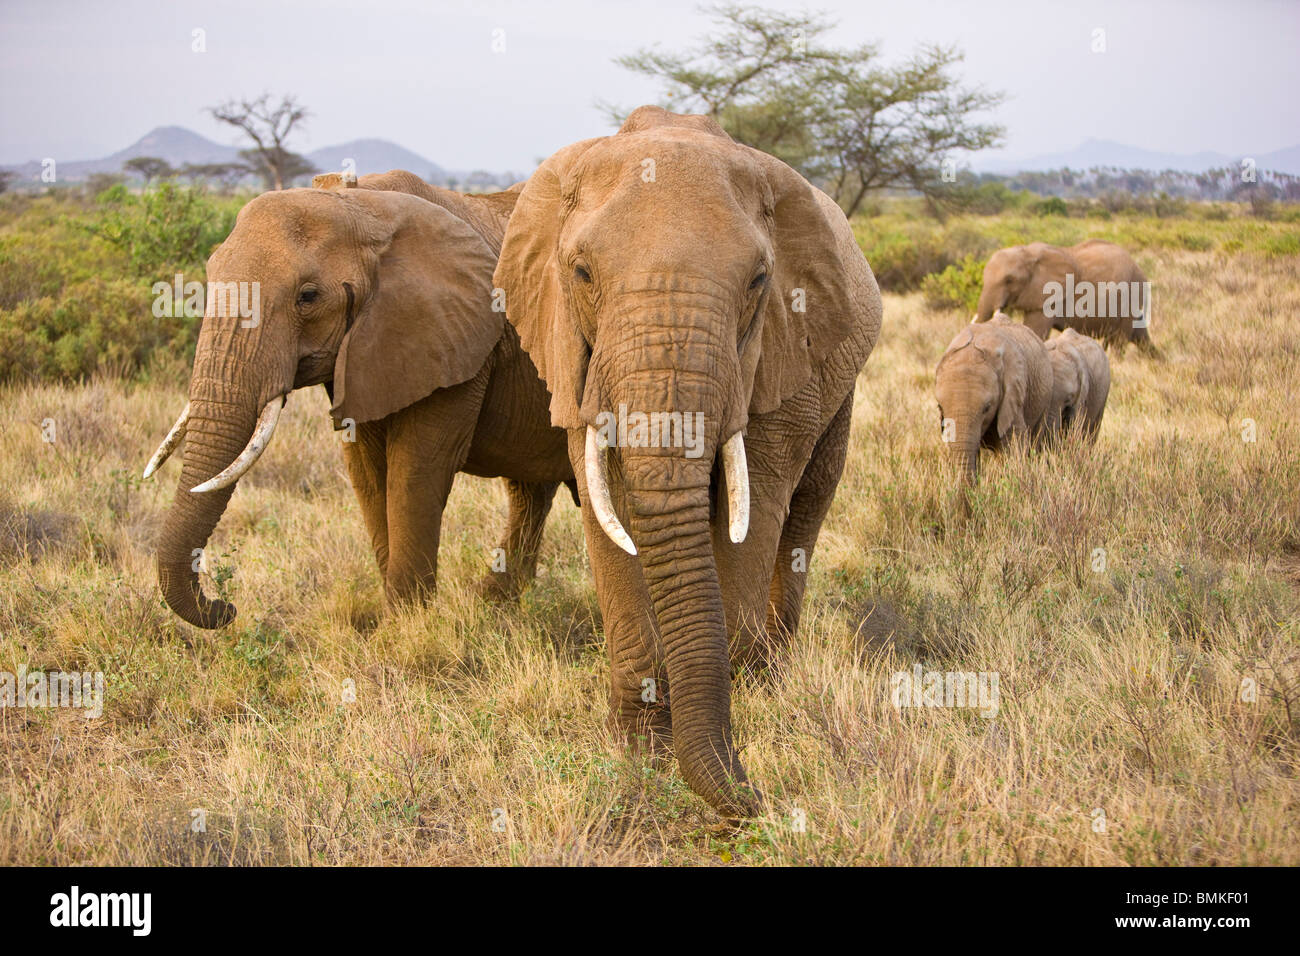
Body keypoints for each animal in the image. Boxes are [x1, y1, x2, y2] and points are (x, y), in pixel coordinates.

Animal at [144, 169, 573, 629]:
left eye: (308, 296)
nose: (226, 607)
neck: (363, 205)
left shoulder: (459, 344)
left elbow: (415, 470)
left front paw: (405, 625)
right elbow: (366, 471)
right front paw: (396, 618)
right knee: (529, 491)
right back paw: (494, 602)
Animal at [493, 106, 882, 817]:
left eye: (759, 280)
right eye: (581, 273)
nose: (759, 798)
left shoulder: (779, 351)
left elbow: (755, 512)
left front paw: (737, 714)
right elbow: (611, 512)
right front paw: (641, 754)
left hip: (836, 379)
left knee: (806, 511)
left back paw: (771, 673)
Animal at [974, 239, 1152, 349]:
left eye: (1009, 280)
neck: (1028, 252)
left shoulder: (1049, 297)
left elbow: (1034, 330)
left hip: (1133, 293)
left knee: (1119, 340)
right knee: (1139, 337)